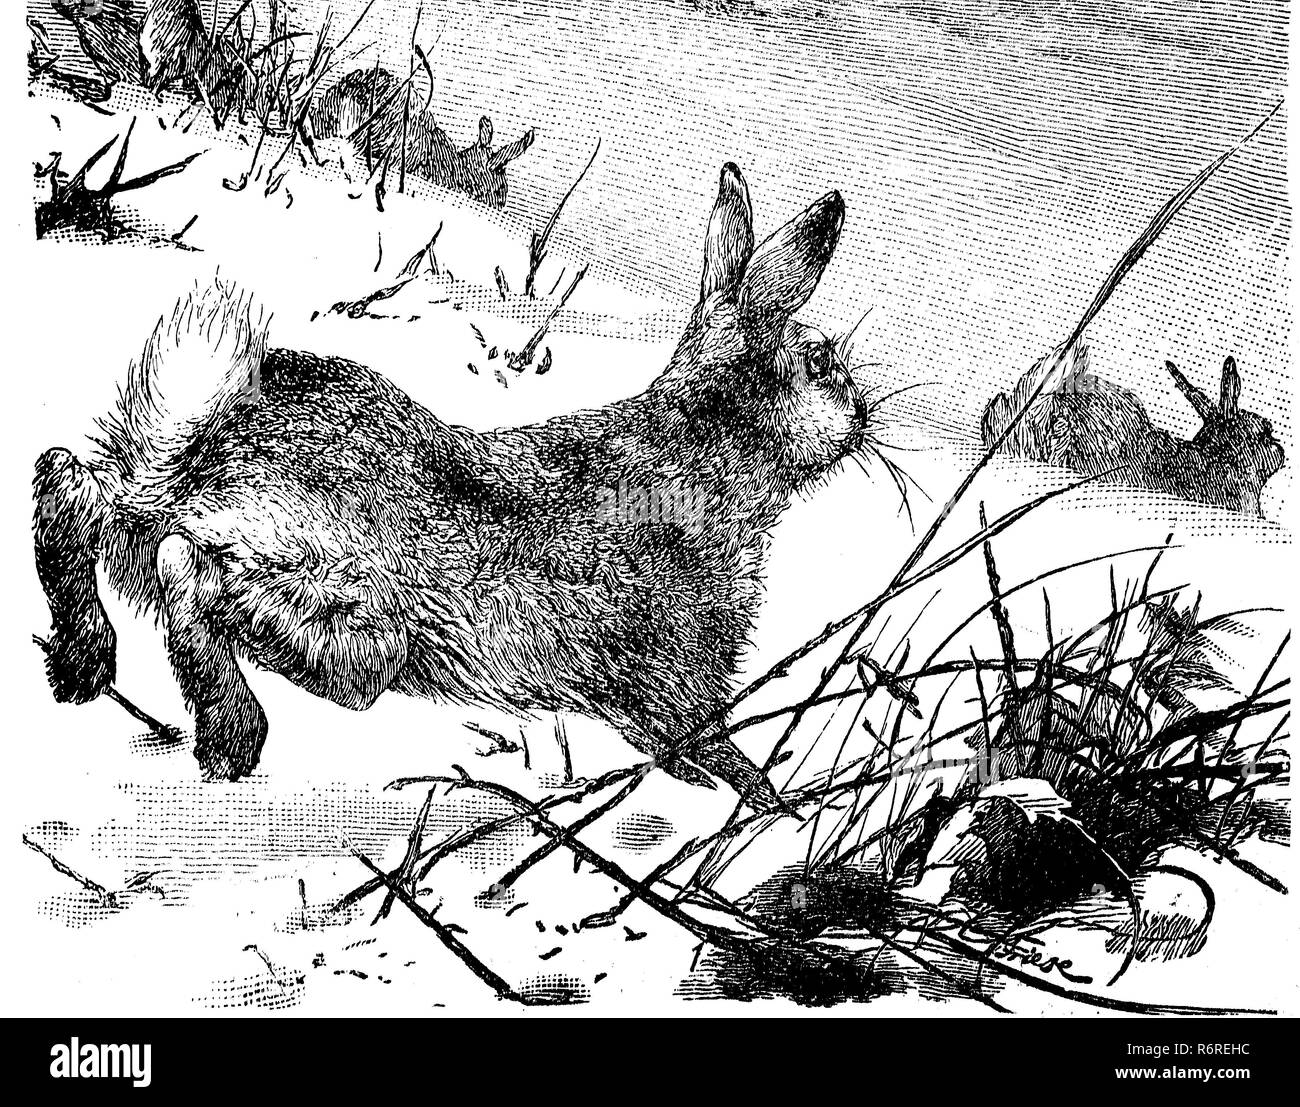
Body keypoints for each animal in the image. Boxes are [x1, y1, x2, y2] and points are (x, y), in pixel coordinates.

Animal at [33, 164, 867, 812]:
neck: (708, 444)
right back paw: (232, 735)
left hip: (151, 518)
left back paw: (86, 668)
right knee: (190, 573)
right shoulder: (680, 669)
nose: (862, 417)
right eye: (821, 362)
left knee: (68, 485)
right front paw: (775, 806)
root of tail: (200, 454)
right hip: (362, 626)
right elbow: (710, 742)